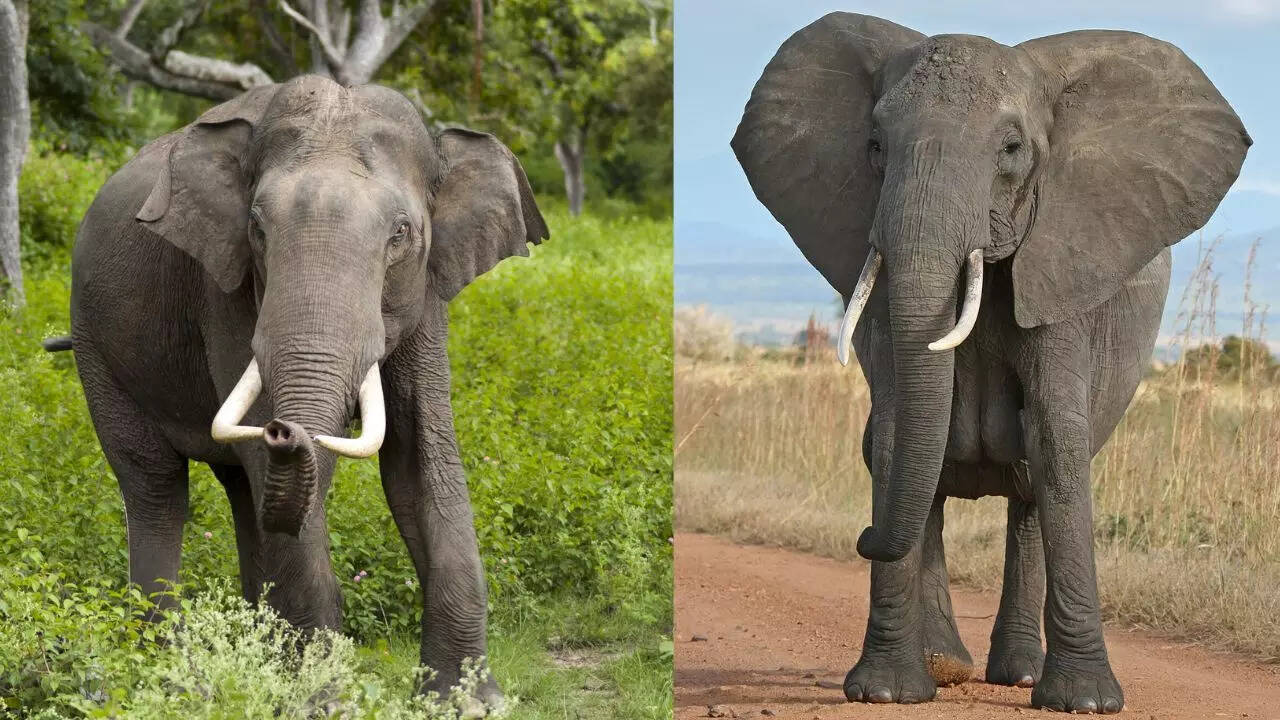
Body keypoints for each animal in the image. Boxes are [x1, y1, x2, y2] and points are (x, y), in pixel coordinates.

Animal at [51, 74, 547, 711]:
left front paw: (467, 703)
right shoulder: (225, 287)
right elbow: (279, 466)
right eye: (258, 229)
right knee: (156, 485)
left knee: (242, 491)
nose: (286, 429)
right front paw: (324, 704)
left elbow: (419, 459)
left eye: (402, 233)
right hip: (95, 345)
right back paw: (179, 681)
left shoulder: (428, 290)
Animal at [732, 13, 1248, 714]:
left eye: (1011, 148)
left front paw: (1085, 703)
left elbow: (1056, 438)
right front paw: (886, 692)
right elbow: (895, 434)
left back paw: (1019, 676)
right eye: (875, 145)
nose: (861, 537)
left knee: (1030, 483)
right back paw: (946, 666)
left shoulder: (1065, 265)